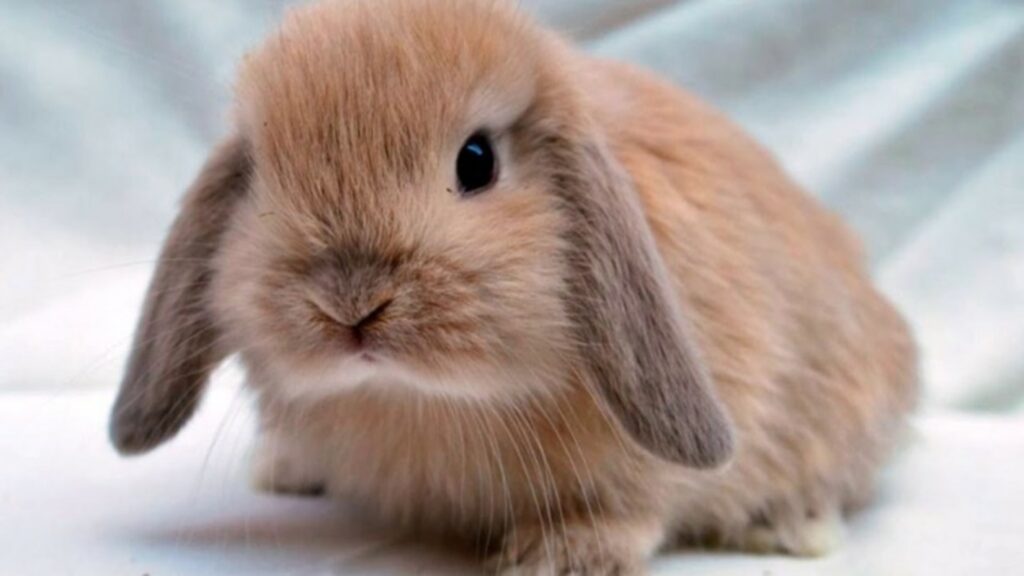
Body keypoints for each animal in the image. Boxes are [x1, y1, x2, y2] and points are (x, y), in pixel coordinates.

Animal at [108, 0, 918, 574]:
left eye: (476, 161)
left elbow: (644, 502)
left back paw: (796, 527)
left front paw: (560, 556)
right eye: (260, 177)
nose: (350, 305)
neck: (419, 401)